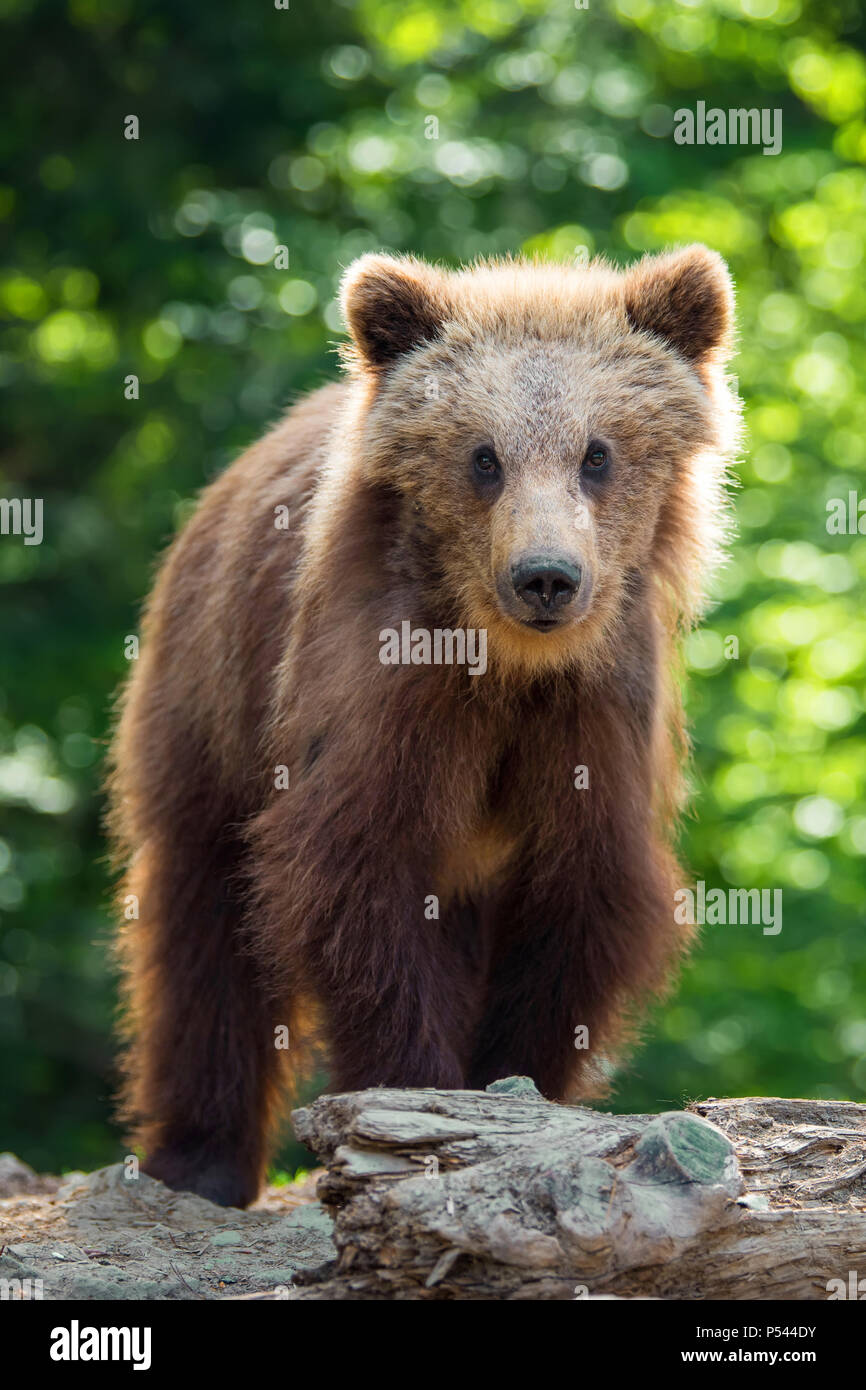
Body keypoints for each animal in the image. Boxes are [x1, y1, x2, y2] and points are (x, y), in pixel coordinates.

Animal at [107, 245, 739, 1208]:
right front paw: (414, 1097)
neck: (506, 666)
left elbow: (578, 898)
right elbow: (363, 877)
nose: (545, 577)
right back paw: (199, 1159)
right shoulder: (383, 690)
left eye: (597, 453)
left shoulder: (594, 716)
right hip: (211, 696)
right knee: (201, 917)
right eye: (484, 457)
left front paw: (512, 1086)